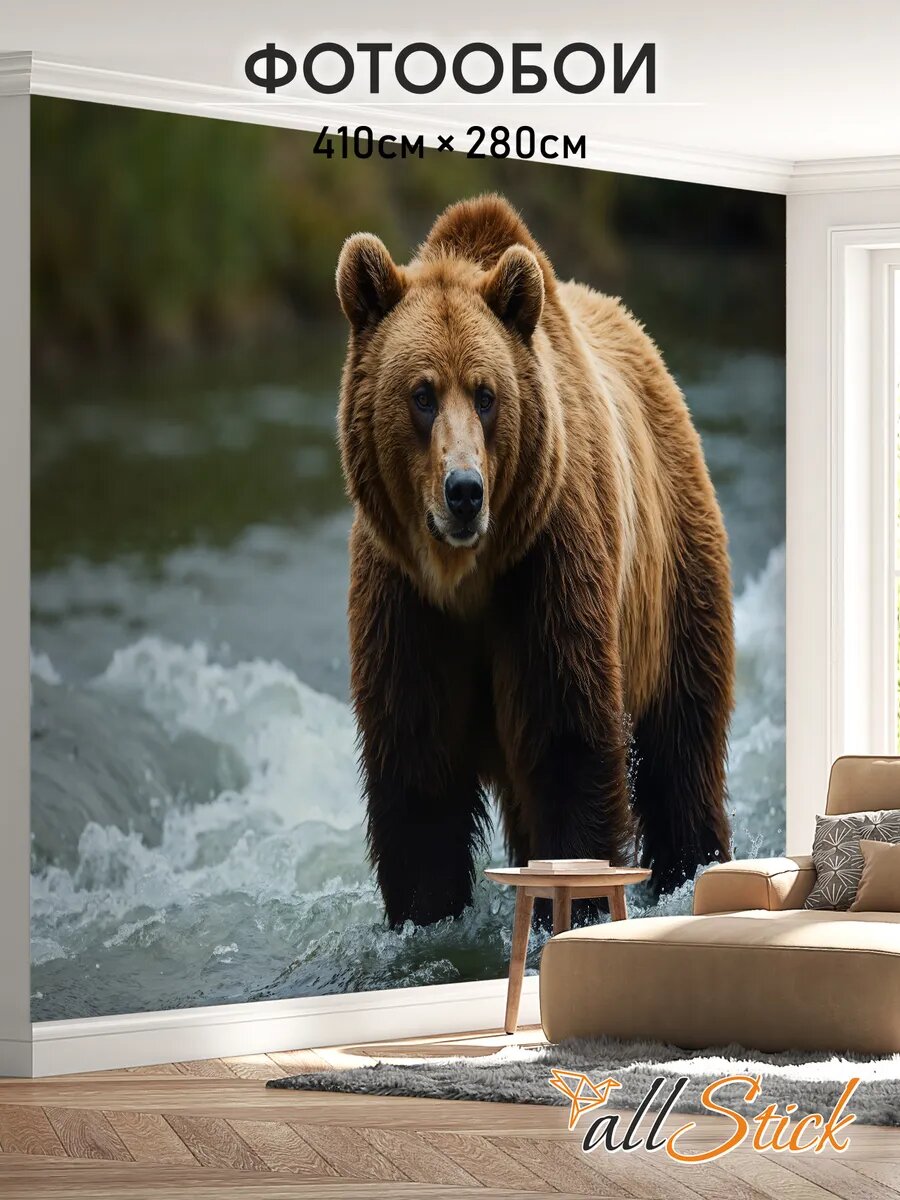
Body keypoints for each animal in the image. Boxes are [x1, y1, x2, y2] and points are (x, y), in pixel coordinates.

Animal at [335, 193, 734, 929]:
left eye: (486, 393)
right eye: (422, 393)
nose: (464, 491)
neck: (466, 578)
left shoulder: (549, 567)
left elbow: (567, 742)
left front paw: (577, 906)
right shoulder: (404, 602)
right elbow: (417, 768)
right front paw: (426, 914)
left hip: (674, 574)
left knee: (682, 746)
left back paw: (693, 865)